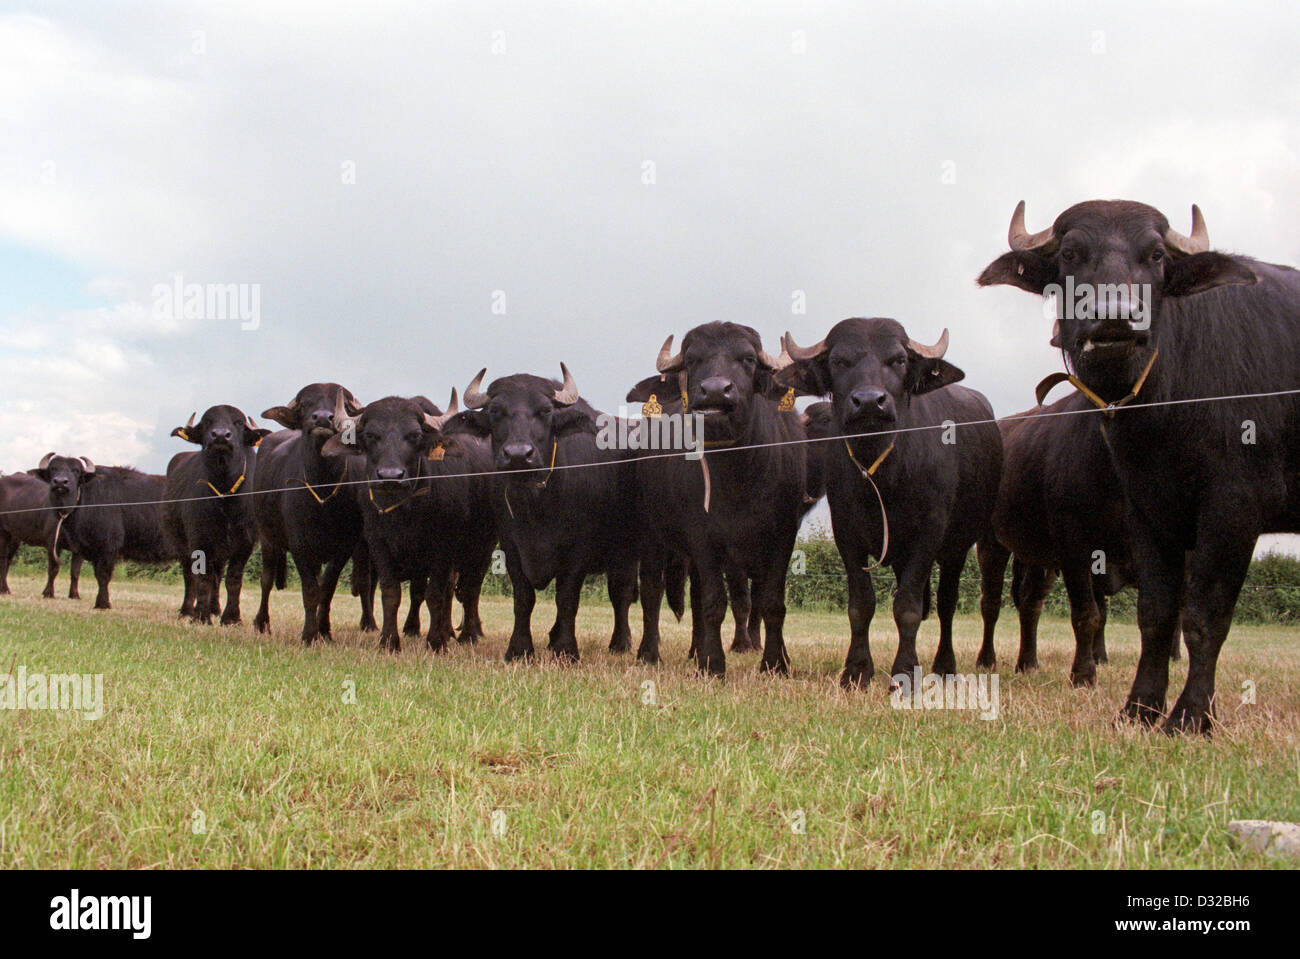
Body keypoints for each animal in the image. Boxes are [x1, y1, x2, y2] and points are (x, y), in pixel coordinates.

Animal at [978, 199, 1298, 733]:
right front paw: (1116, 693)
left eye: (1156, 255)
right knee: (994, 602)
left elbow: (1195, 617)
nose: (1114, 319)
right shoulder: (1096, 531)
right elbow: (1120, 614)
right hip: (992, 542)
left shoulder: (1227, 509)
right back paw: (992, 660)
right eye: (1069, 253)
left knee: (1030, 601)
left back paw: (1028, 661)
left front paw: (1184, 715)